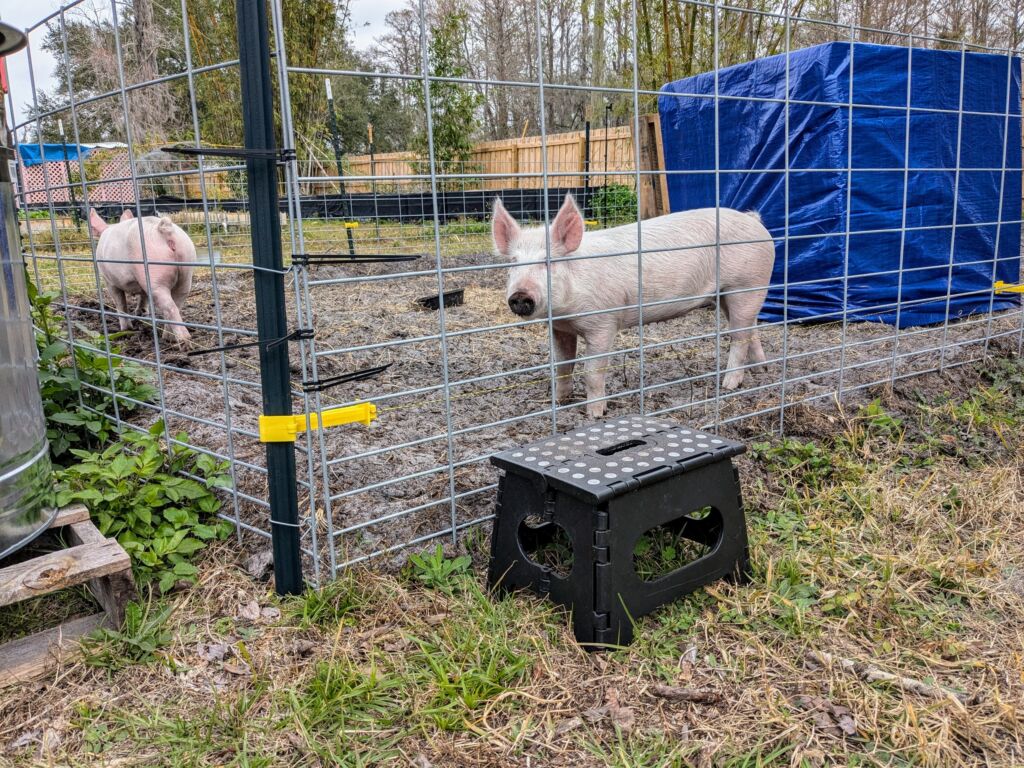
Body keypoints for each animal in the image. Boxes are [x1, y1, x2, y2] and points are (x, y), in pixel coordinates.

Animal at [89, 208, 196, 349]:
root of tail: (163, 229)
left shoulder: (109, 280)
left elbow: (120, 303)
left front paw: (126, 330)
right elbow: (144, 297)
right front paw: (141, 313)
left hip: (155, 275)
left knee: (169, 307)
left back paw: (183, 343)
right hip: (186, 270)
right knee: (177, 303)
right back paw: (168, 338)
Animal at [493, 193, 775, 418]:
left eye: (548, 262)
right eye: (513, 262)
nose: (520, 295)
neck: (565, 312)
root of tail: (755, 221)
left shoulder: (603, 323)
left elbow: (592, 371)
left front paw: (595, 414)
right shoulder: (560, 328)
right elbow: (562, 366)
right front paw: (560, 401)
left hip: (746, 284)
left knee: (739, 336)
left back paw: (729, 384)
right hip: (729, 294)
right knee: (750, 328)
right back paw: (762, 368)